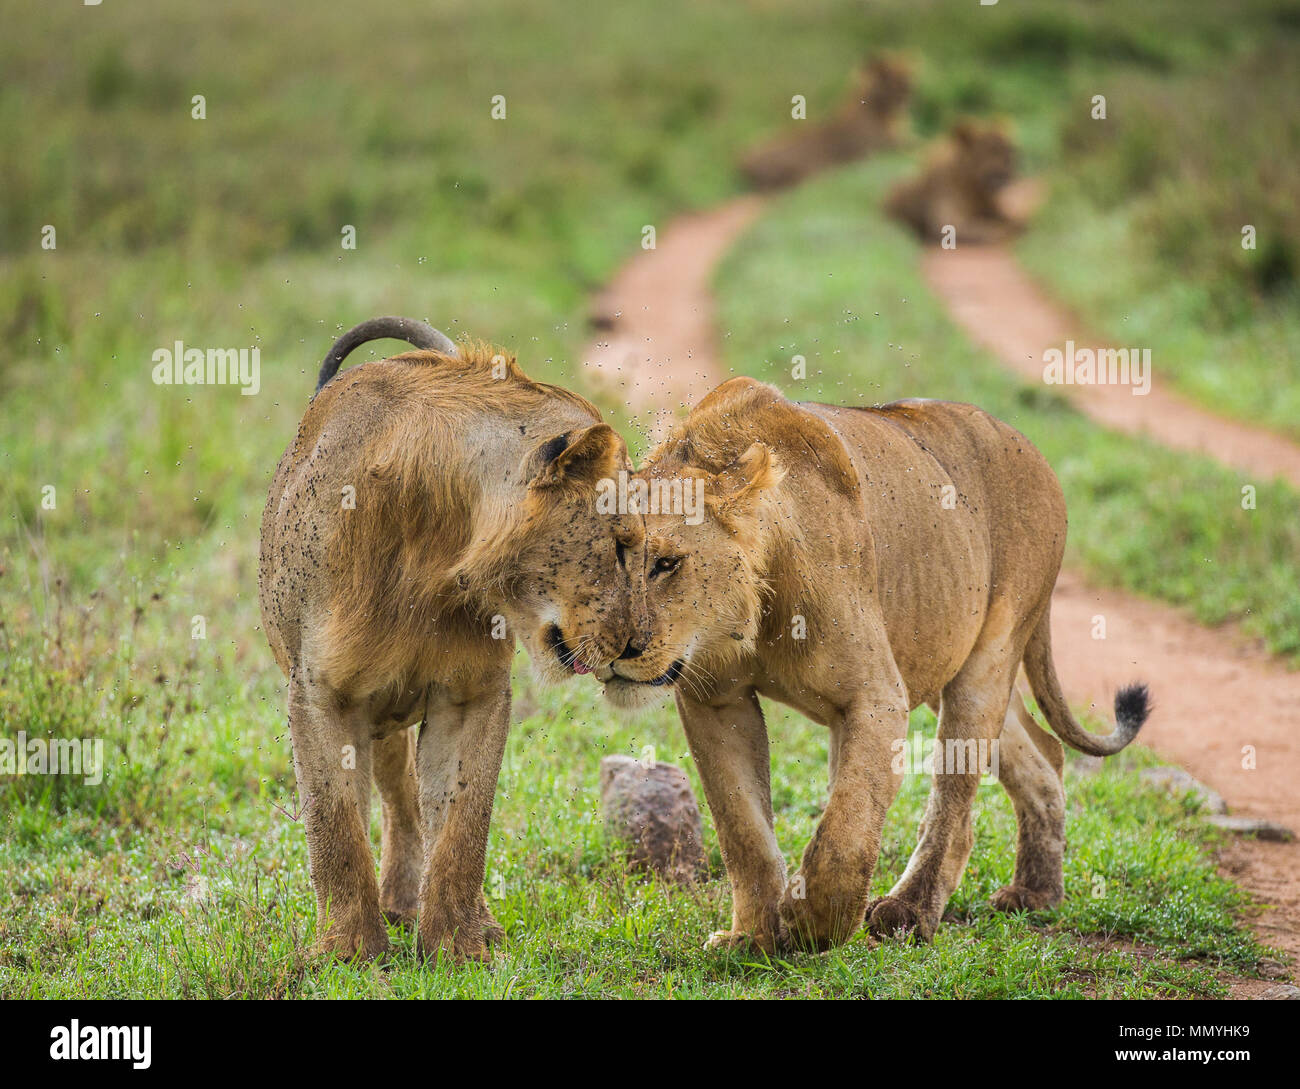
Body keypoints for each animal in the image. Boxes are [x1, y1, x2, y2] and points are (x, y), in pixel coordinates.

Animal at [259, 316, 647, 963]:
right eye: (619, 544)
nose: (637, 643)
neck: (436, 551)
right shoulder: (320, 695)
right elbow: (335, 825)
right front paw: (349, 951)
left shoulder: (472, 694)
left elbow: (464, 823)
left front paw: (460, 945)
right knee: (396, 798)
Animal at [597, 377, 1148, 952]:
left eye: (666, 564)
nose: (613, 648)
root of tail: (1031, 450)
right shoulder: (715, 702)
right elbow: (743, 830)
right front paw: (751, 939)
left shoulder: (876, 697)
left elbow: (847, 825)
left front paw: (814, 923)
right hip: (951, 666)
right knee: (1042, 755)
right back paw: (1036, 893)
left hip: (987, 660)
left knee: (955, 804)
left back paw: (909, 911)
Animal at [885, 118, 1023, 244]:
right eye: (988, 151)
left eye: (1008, 152)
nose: (1007, 174)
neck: (974, 189)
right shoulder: (949, 221)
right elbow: (987, 230)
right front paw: (1007, 232)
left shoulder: (993, 209)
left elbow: (1010, 220)